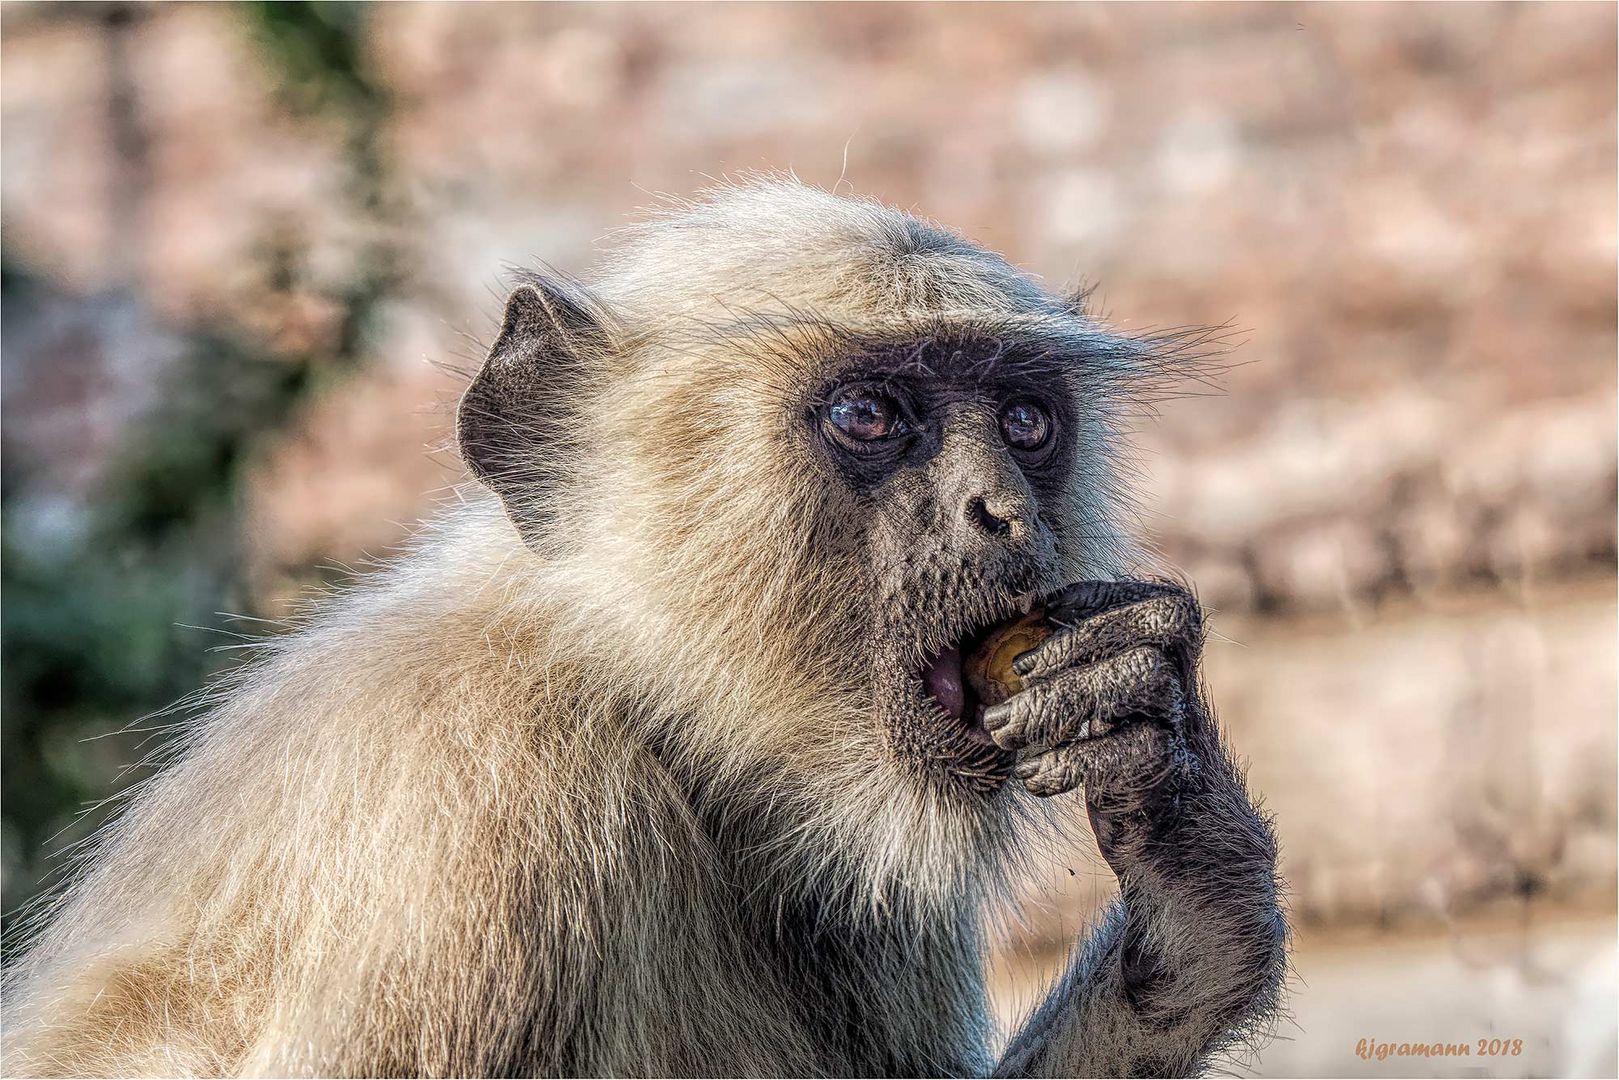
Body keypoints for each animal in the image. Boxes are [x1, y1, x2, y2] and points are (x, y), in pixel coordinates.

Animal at [2, 179, 1286, 1078]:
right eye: (870, 415)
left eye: (1024, 423)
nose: (1005, 513)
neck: (646, 713)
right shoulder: (461, 795)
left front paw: (1181, 848)